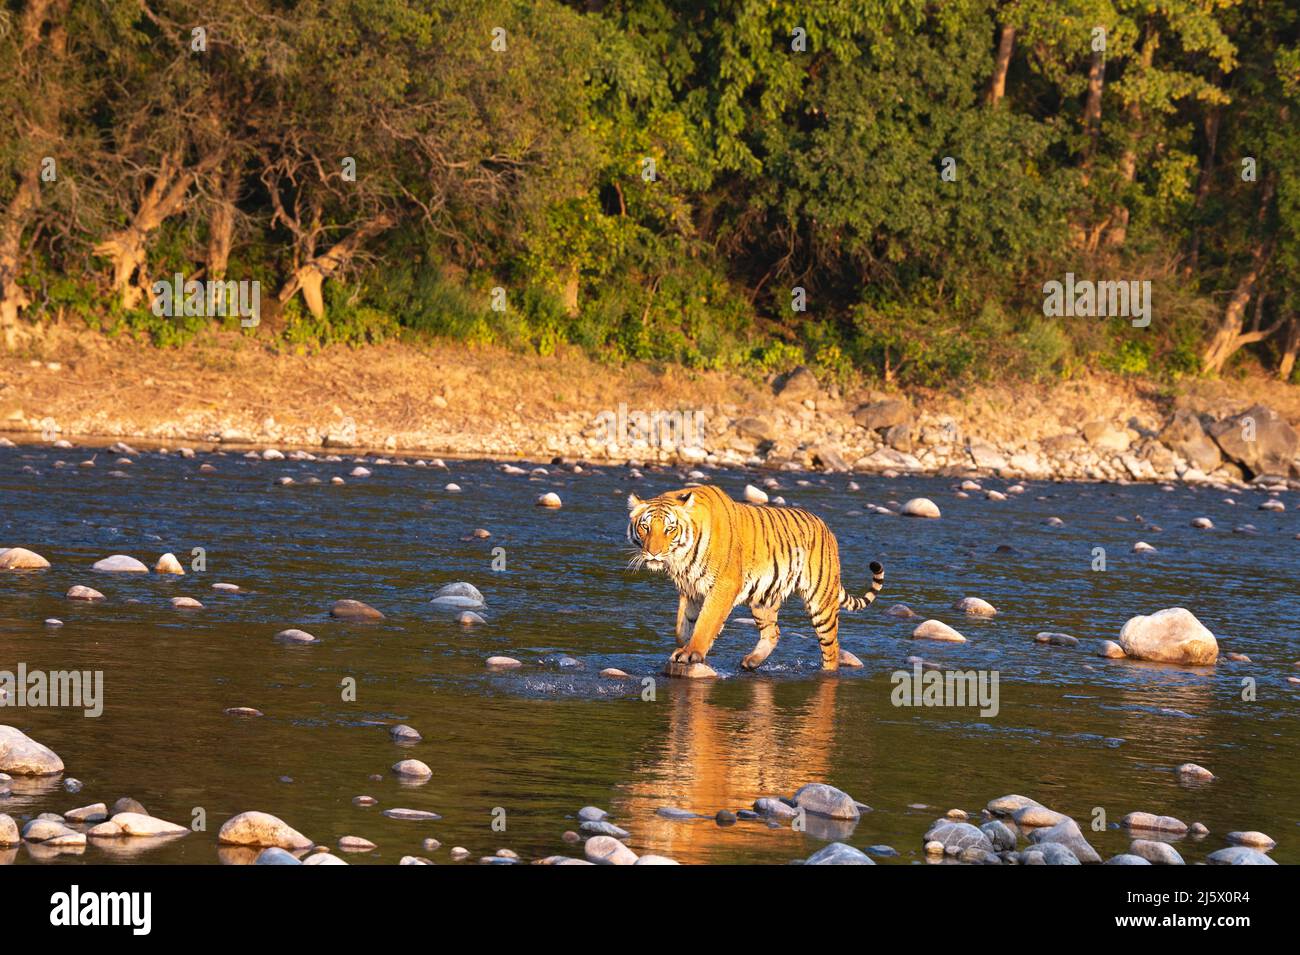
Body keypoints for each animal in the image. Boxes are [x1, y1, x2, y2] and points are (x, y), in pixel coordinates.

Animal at [627, 484, 884, 671]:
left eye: (669, 529)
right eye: (645, 527)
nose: (653, 552)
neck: (681, 558)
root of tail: (827, 529)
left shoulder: (723, 586)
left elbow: (706, 622)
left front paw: (692, 653)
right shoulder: (690, 589)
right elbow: (683, 627)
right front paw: (686, 651)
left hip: (821, 601)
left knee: (832, 648)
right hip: (764, 597)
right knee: (774, 632)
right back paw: (751, 662)